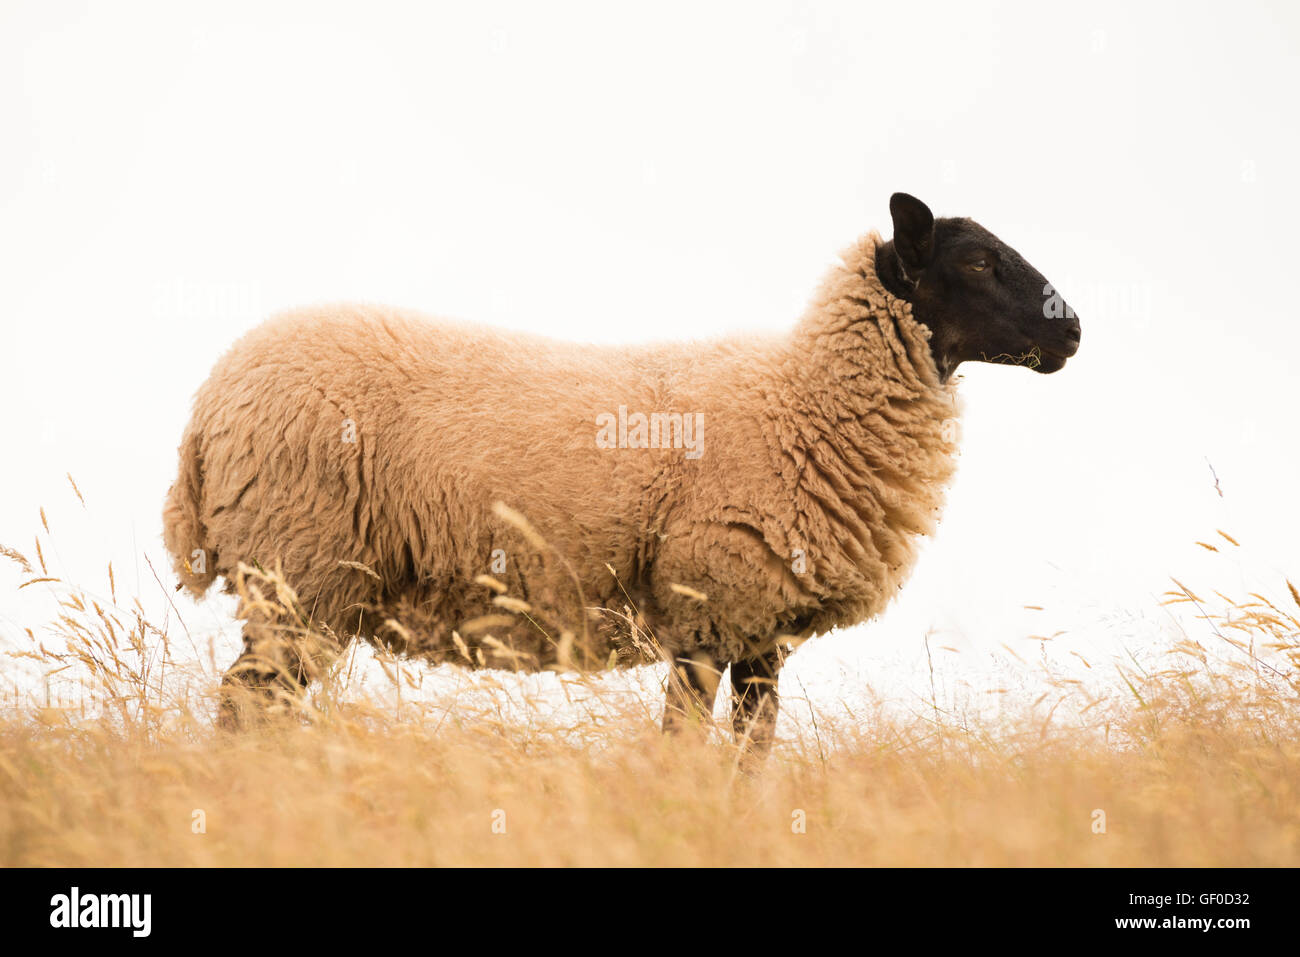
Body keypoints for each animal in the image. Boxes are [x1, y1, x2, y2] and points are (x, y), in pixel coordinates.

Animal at [163, 192, 1080, 749]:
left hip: (303, 586)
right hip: (298, 568)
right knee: (244, 702)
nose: (1071, 330)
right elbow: (682, 743)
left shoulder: (762, 630)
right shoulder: (707, 604)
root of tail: (206, 410)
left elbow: (752, 752)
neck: (802, 398)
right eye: (976, 261)